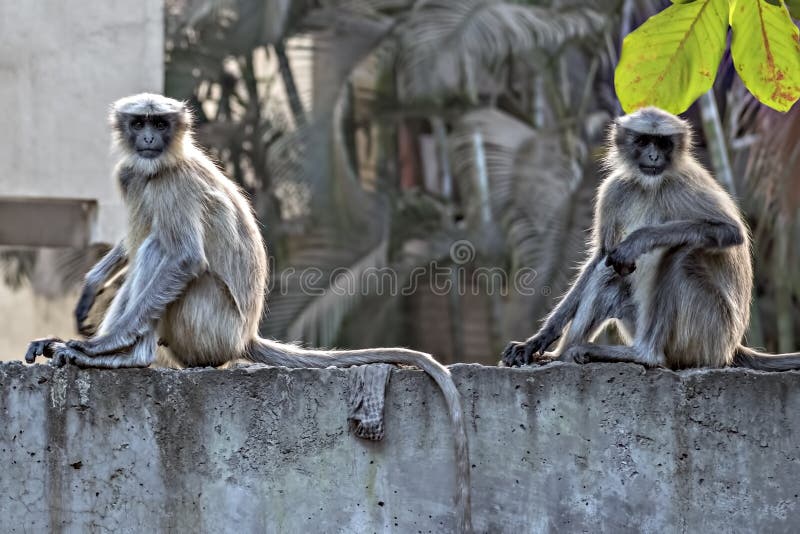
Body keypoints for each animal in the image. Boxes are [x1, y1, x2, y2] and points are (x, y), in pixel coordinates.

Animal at [24, 94, 471, 532]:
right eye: (139, 124)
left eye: (160, 123)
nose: (149, 139)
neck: (170, 158)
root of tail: (246, 335)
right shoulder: (138, 169)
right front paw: (93, 285)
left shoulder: (174, 183)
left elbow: (184, 257)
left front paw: (102, 345)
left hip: (209, 324)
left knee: (160, 246)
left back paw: (130, 355)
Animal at [502, 106, 800, 372]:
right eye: (644, 141)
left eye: (663, 143)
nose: (654, 156)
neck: (650, 186)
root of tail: (733, 347)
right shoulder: (614, 189)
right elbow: (601, 256)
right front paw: (538, 339)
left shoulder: (685, 182)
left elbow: (730, 232)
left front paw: (638, 240)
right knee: (609, 272)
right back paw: (562, 355)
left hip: (711, 334)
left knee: (679, 253)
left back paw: (644, 355)